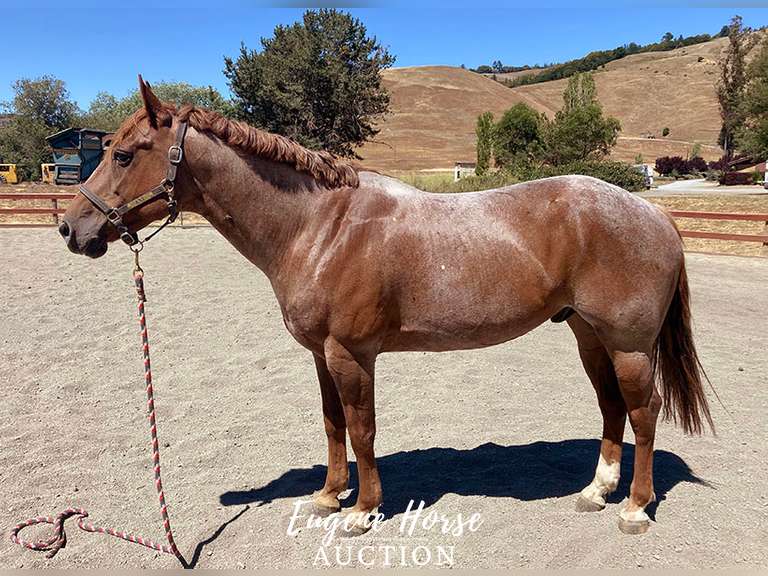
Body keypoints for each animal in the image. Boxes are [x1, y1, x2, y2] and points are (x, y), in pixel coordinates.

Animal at [60, 76, 713, 536]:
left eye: (125, 154)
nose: (71, 226)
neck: (319, 226)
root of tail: (653, 214)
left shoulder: (352, 354)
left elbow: (363, 428)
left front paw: (362, 511)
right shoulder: (321, 356)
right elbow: (332, 424)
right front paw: (328, 496)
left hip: (628, 345)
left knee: (644, 414)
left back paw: (634, 508)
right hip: (588, 335)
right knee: (611, 408)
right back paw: (596, 491)